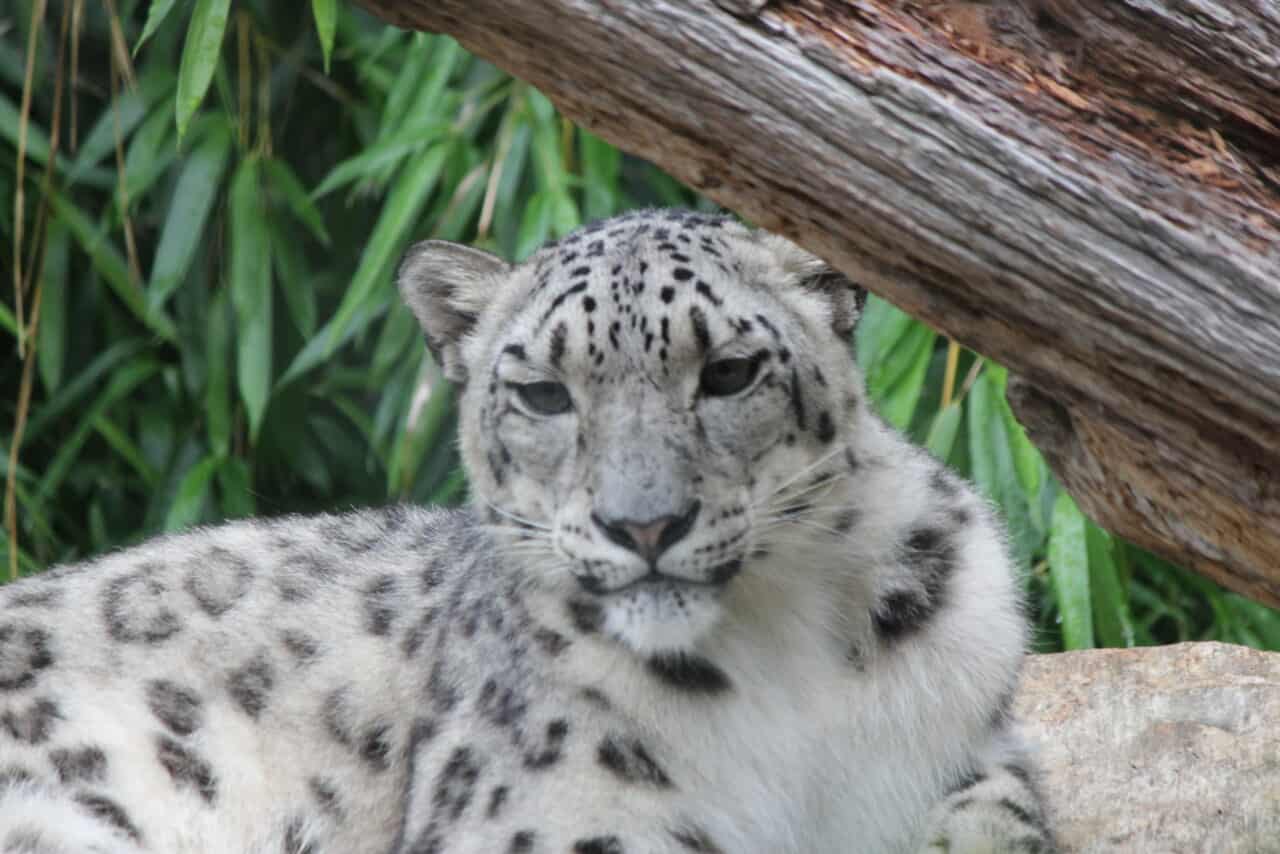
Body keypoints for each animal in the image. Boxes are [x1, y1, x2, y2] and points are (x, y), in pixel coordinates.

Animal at [0, 209, 1055, 853]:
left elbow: (1002, 804)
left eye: (729, 372)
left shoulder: (966, 736)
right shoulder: (544, 817)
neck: (778, 653)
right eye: (544, 392)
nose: (644, 524)